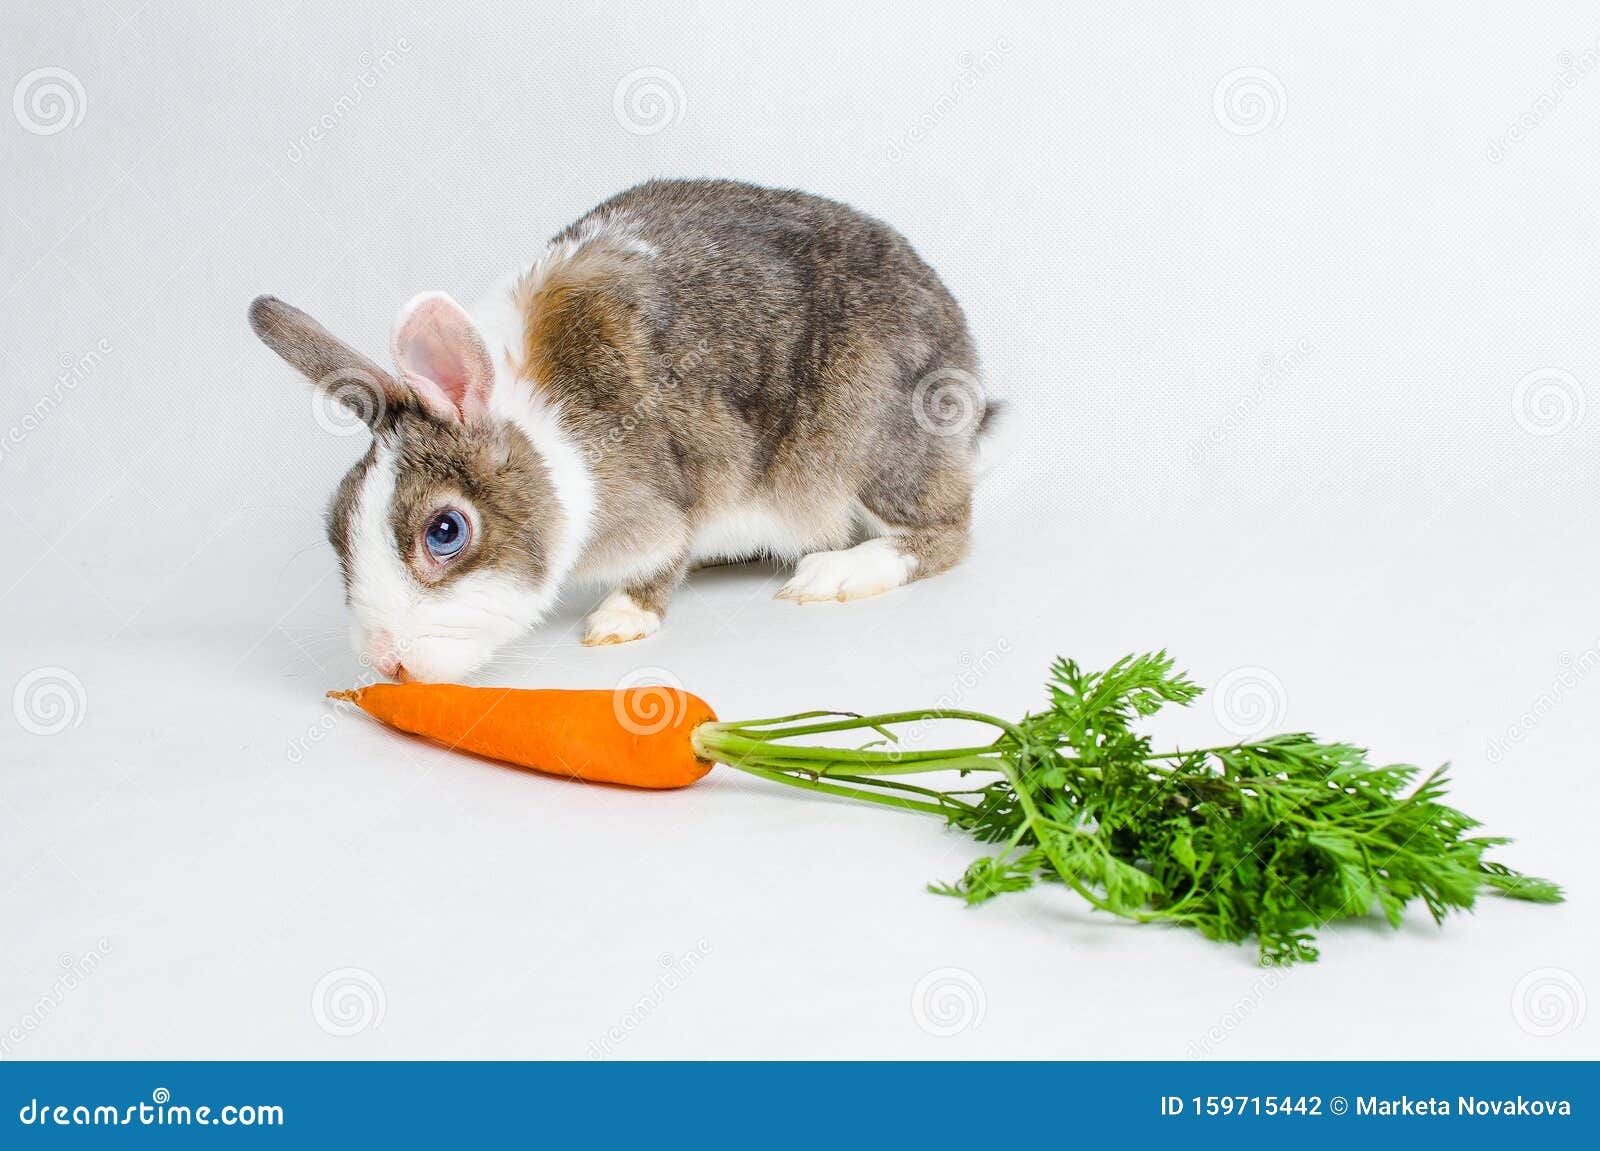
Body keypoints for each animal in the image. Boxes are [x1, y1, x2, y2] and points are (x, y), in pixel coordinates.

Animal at [249, 178, 1001, 683]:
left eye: (445, 531)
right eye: (336, 524)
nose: (386, 662)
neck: (545, 431)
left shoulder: (665, 507)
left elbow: (661, 560)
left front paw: (619, 621)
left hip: (878, 455)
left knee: (947, 534)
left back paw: (834, 574)